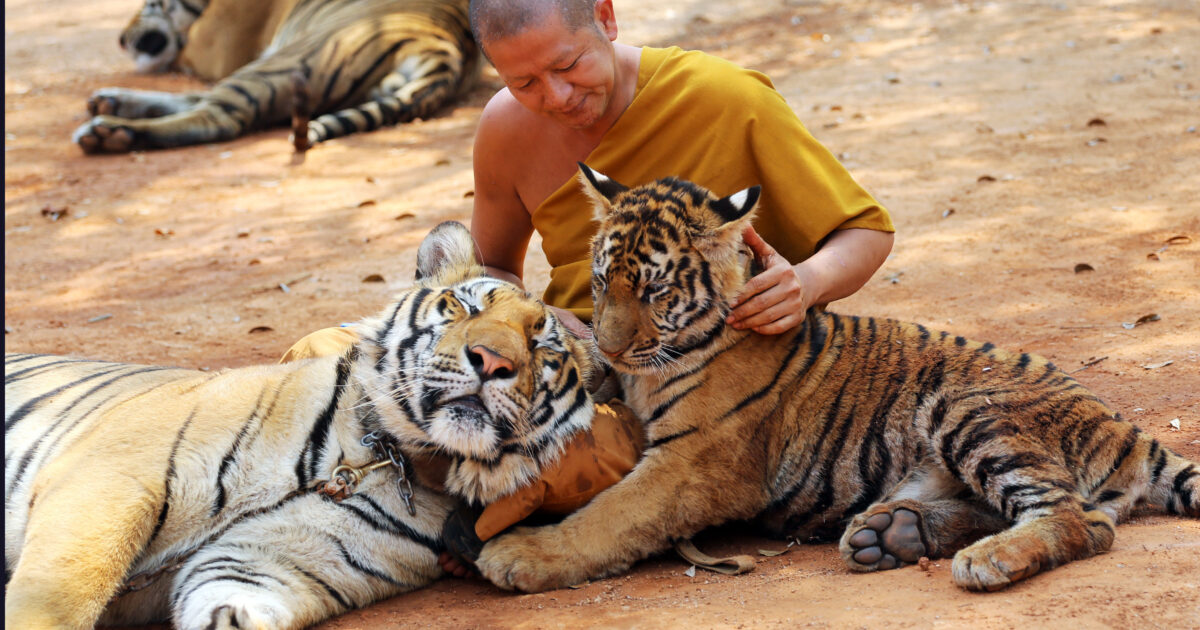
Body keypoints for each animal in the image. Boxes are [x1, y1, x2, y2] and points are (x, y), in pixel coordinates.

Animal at [4, 221, 594, 629]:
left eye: (541, 346)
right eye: (462, 307)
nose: (491, 361)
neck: (387, 454)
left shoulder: (268, 558)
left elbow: (230, 599)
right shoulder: (110, 478)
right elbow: (57, 601)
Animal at [72, 0, 478, 154]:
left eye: (147, 4)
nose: (121, 38)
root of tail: (447, 48)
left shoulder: (217, 46)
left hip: (287, 61)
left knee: (218, 117)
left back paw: (110, 132)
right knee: (200, 102)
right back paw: (111, 103)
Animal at [474, 165, 1199, 594]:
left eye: (653, 290)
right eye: (602, 282)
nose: (612, 347)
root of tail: (1127, 428)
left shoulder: (691, 462)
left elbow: (610, 513)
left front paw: (519, 555)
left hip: (970, 407)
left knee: (1083, 518)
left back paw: (984, 560)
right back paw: (895, 532)